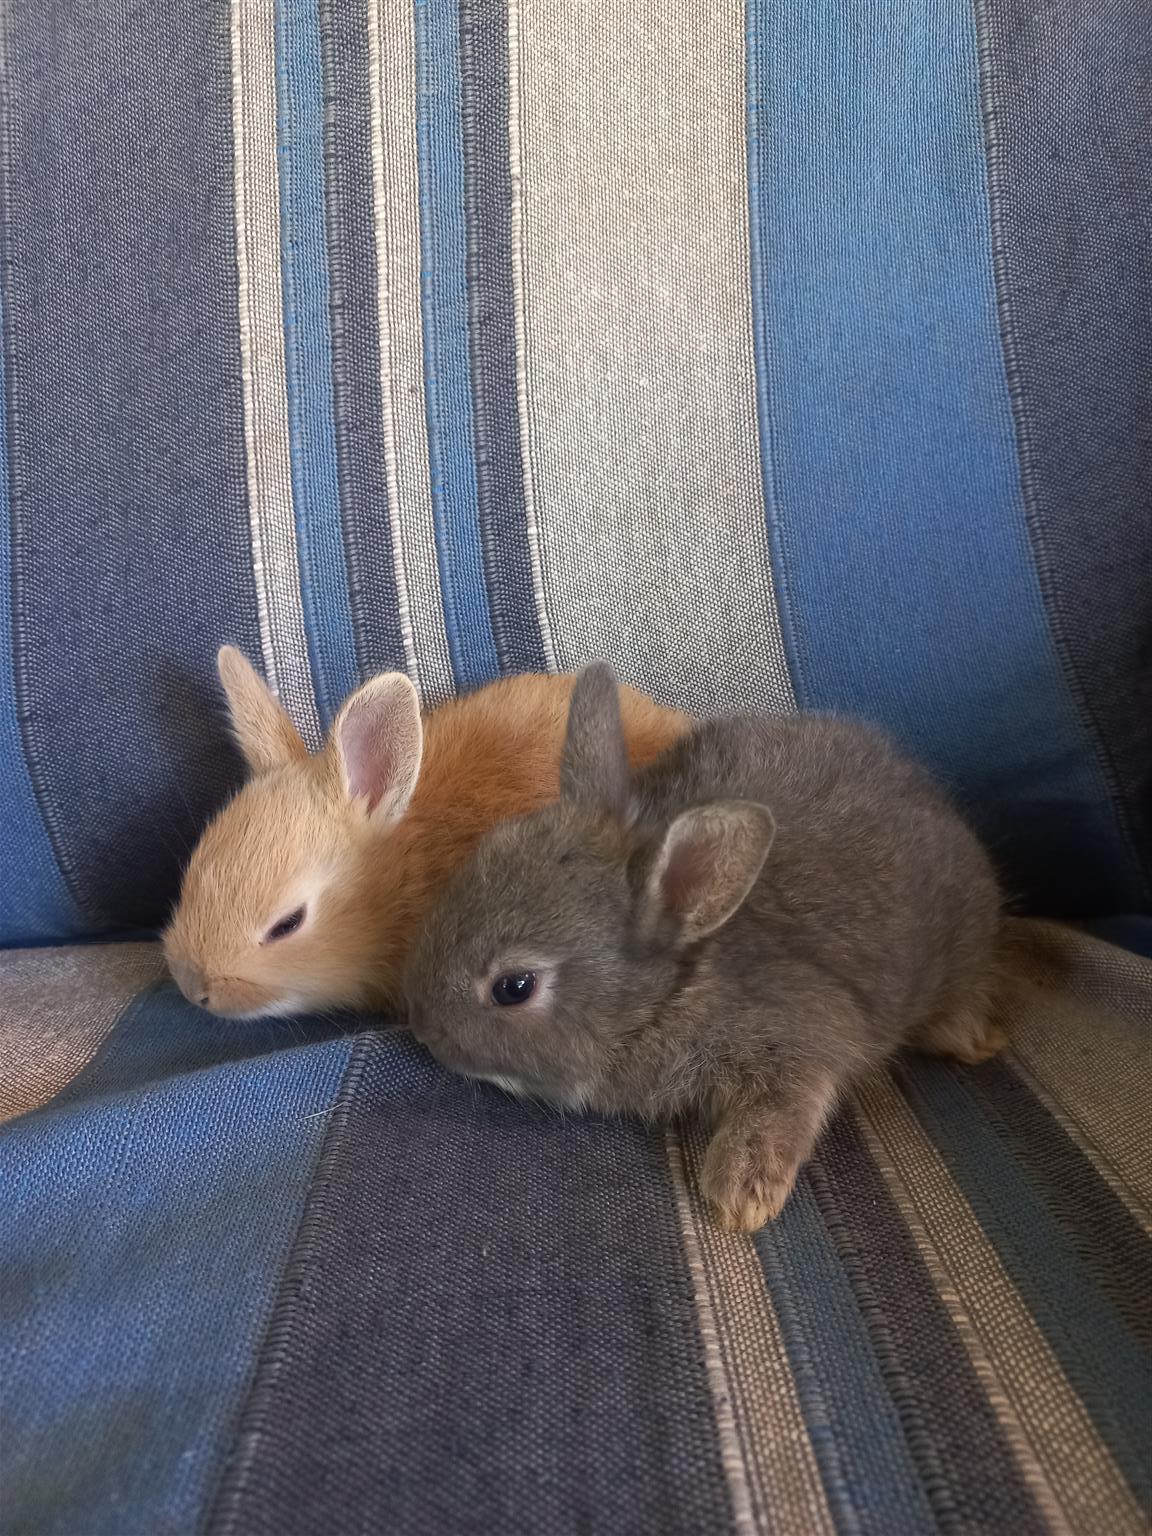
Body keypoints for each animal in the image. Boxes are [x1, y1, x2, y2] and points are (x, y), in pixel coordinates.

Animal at [404, 662, 1006, 1231]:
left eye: (514, 987)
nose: (425, 1032)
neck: (675, 989)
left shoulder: (800, 1035)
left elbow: (786, 1105)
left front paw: (741, 1198)